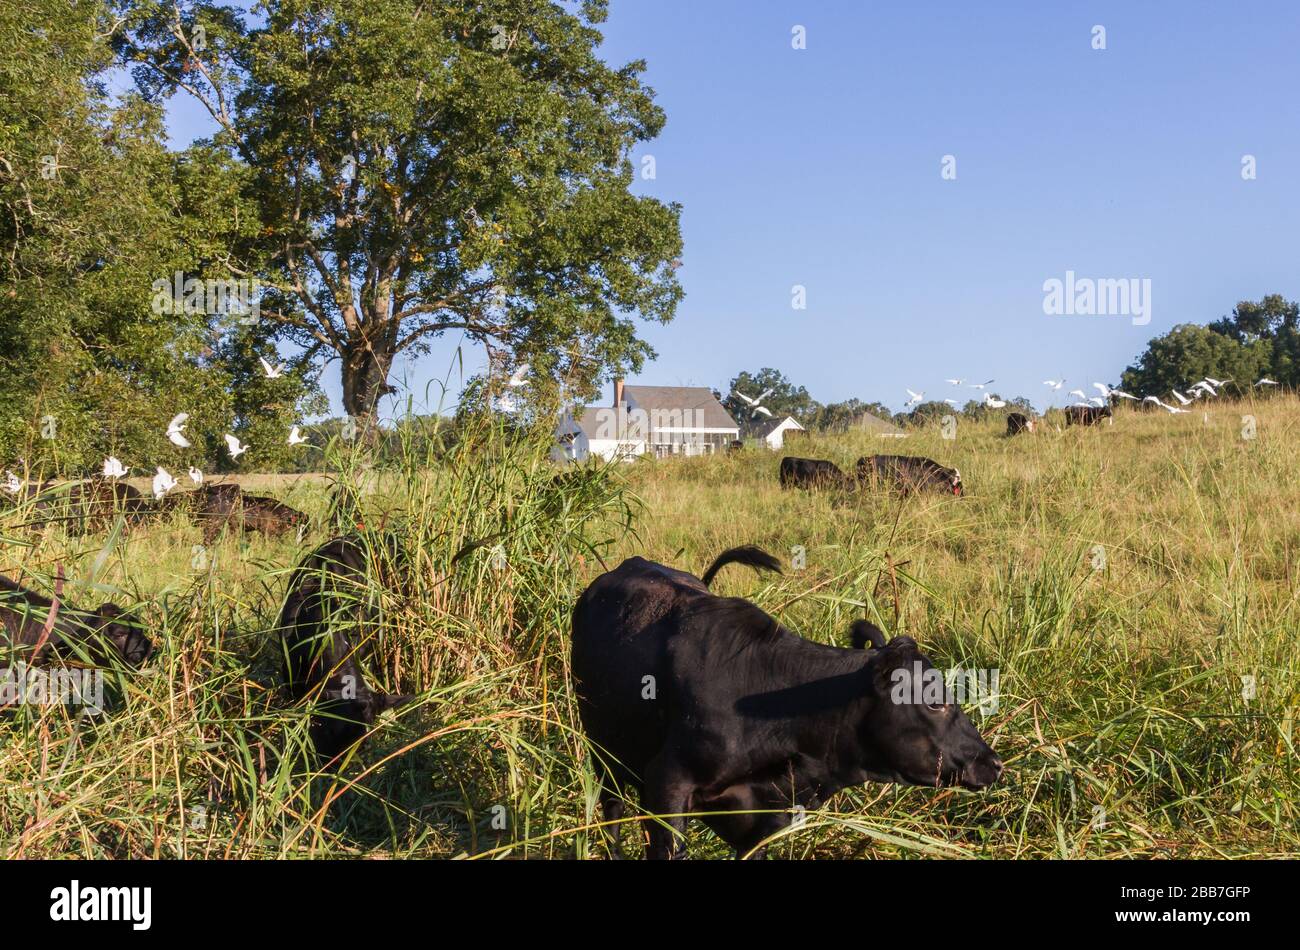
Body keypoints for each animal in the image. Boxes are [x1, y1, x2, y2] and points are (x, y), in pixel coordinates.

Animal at [571, 546, 1002, 859]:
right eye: (935, 703)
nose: (993, 763)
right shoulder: (666, 785)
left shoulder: (765, 818)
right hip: (603, 754)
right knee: (611, 816)